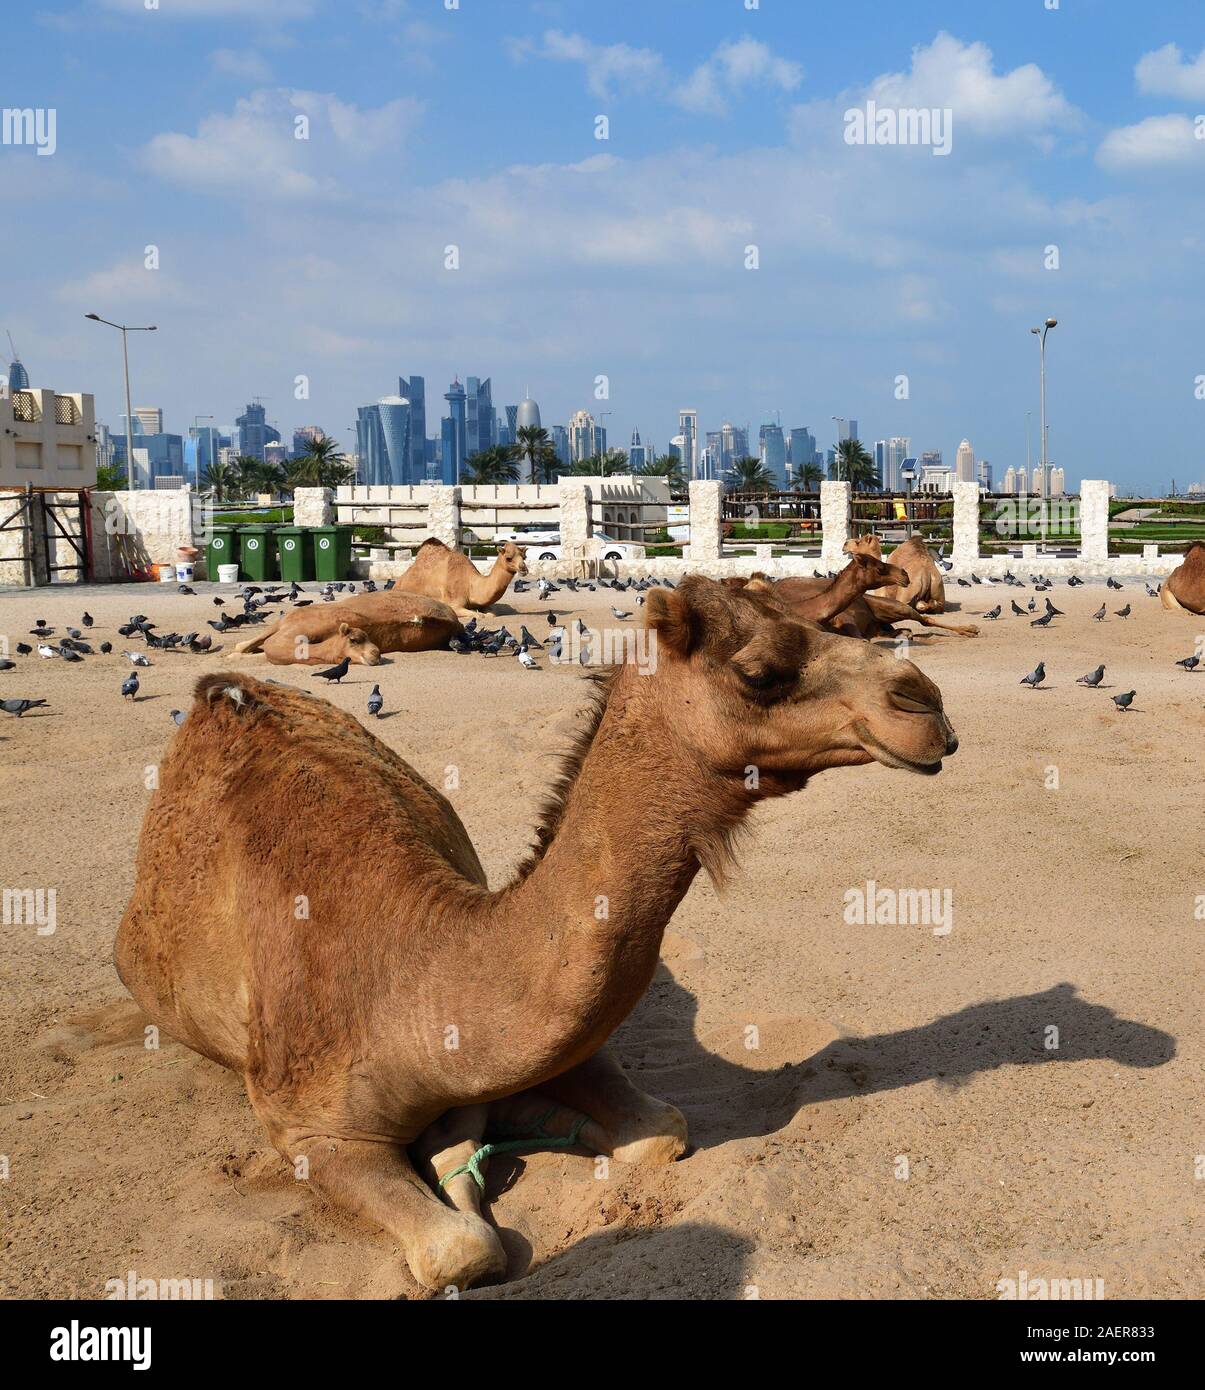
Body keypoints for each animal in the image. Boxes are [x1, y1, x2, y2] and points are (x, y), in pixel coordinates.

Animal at [397, 537, 527, 620]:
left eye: (524, 556)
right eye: (508, 558)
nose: (524, 569)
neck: (470, 585)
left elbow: (491, 614)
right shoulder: (454, 603)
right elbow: (479, 615)